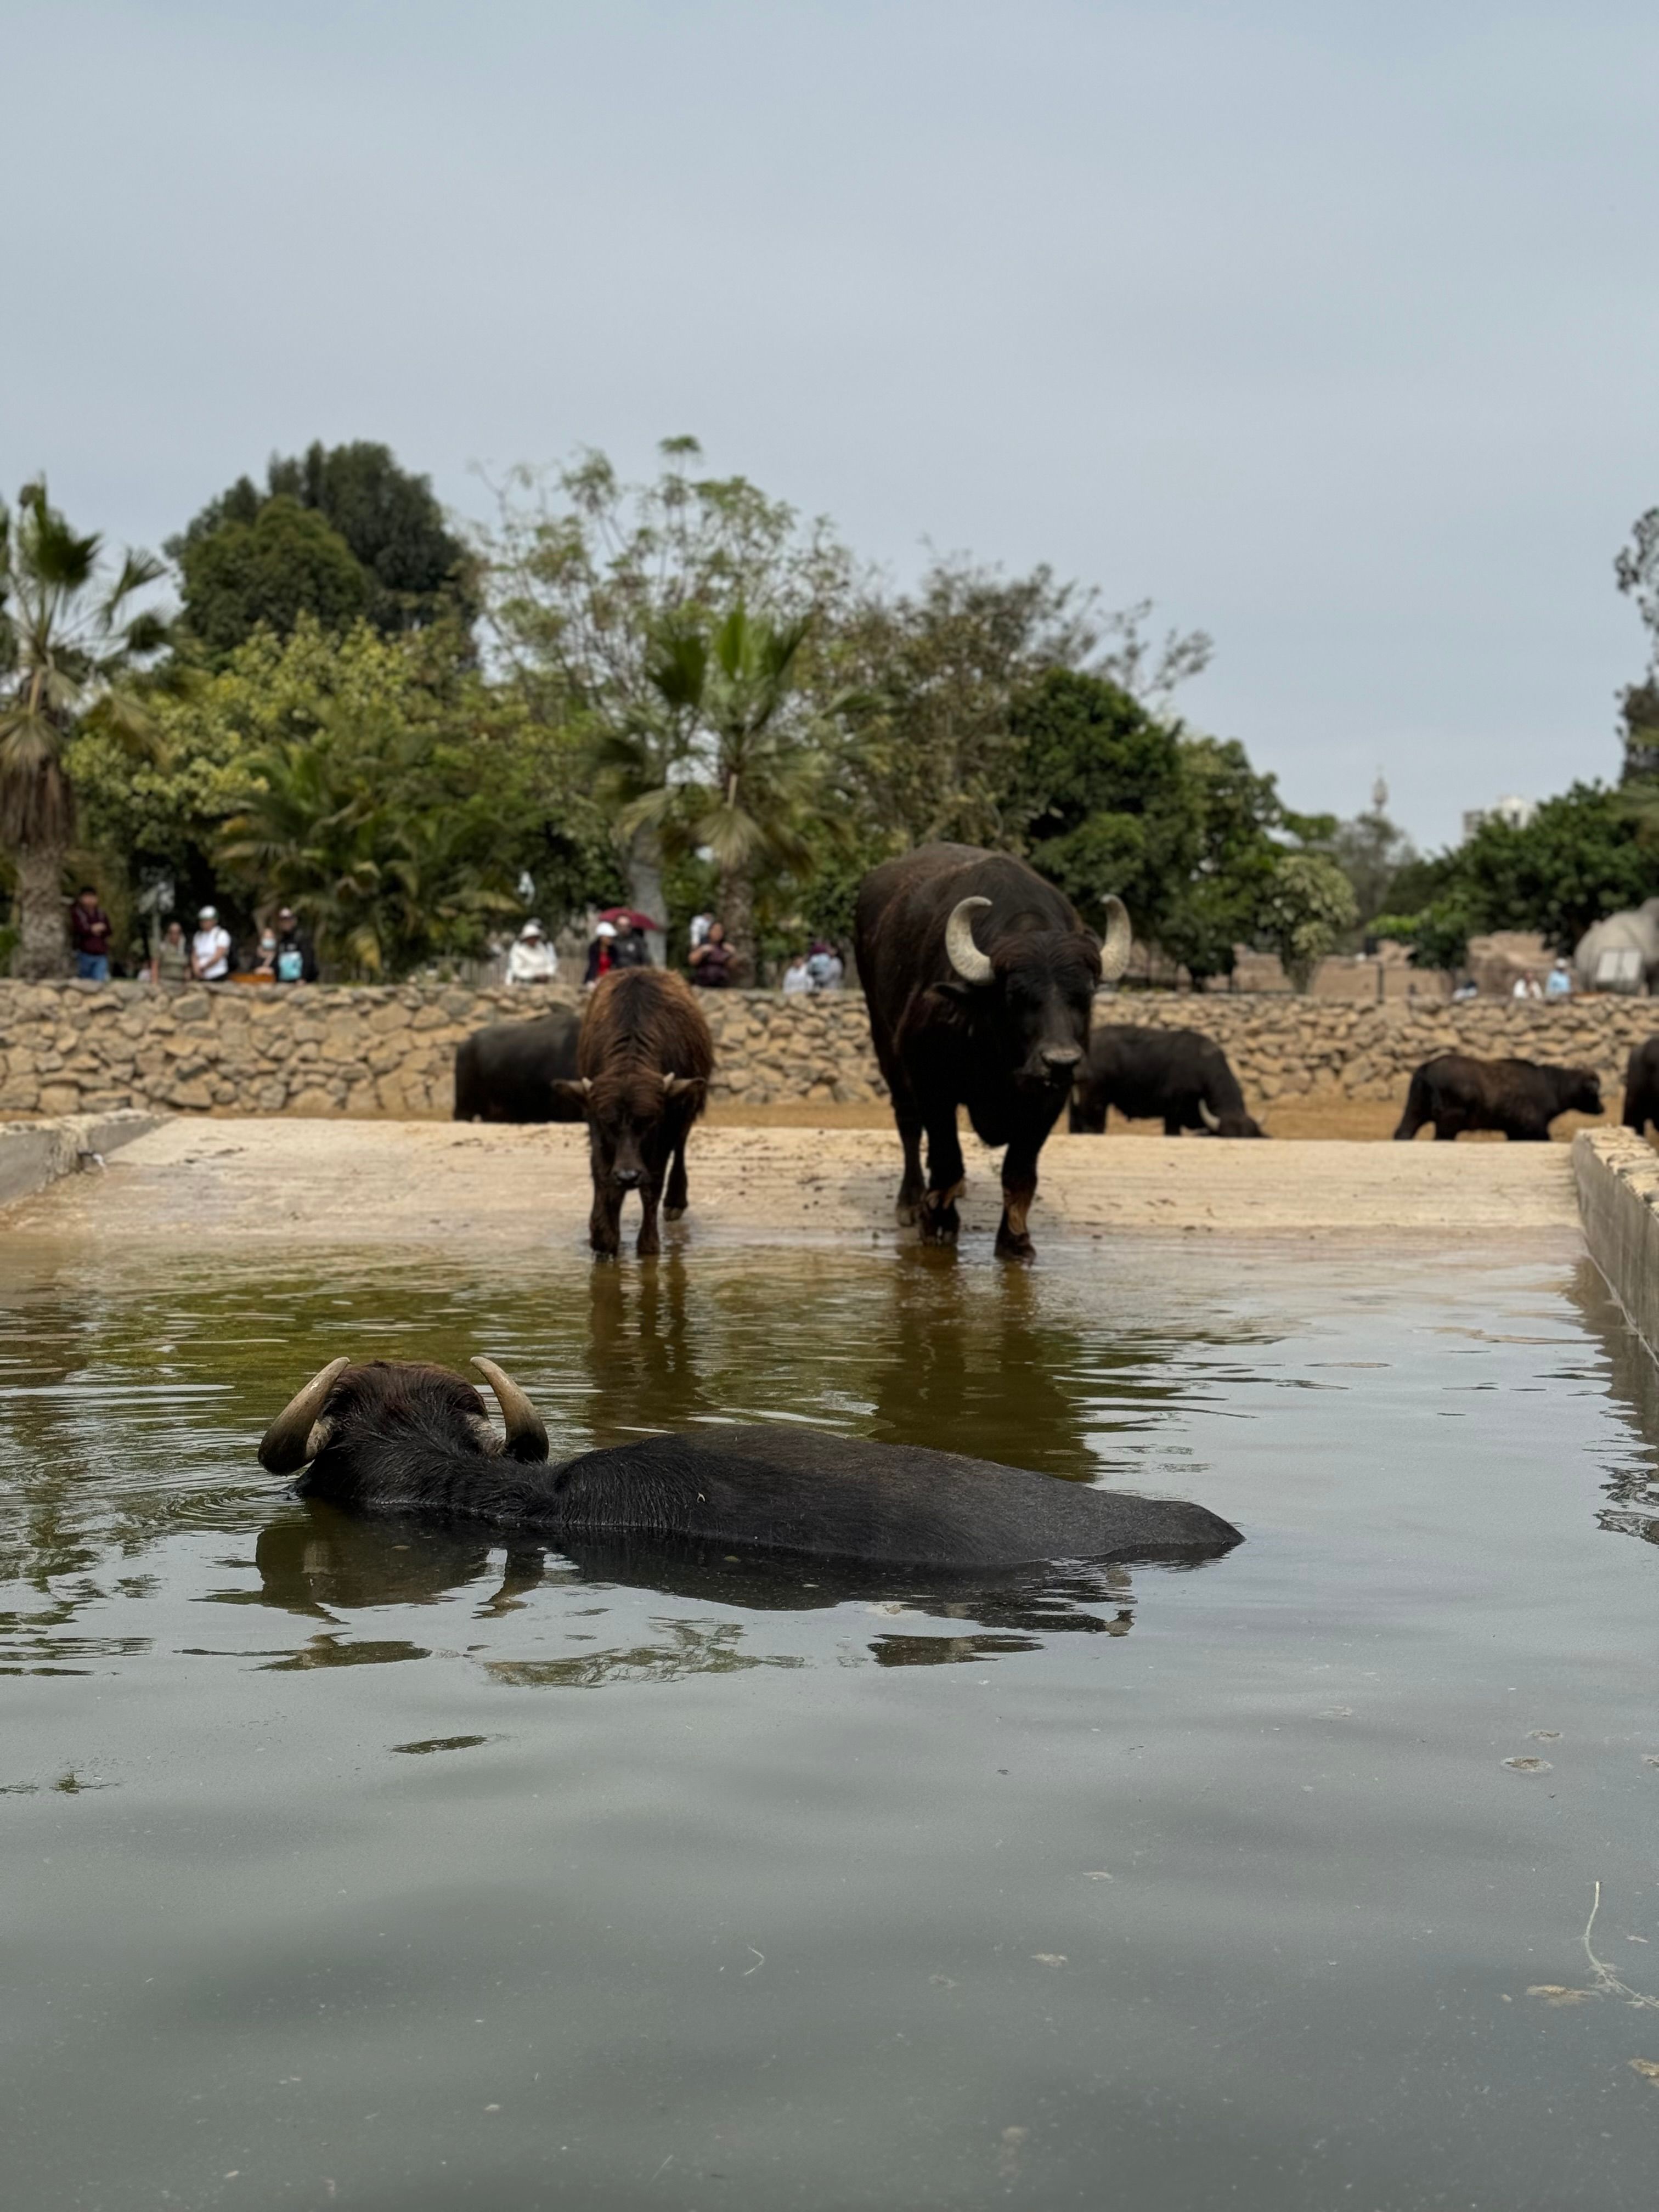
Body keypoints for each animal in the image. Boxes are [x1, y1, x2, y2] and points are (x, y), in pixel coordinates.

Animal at [554, 968, 714, 1258]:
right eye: (609, 1124)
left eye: (649, 1122)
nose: (628, 1176)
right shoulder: (595, 1124)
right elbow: (602, 1174)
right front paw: (603, 1234)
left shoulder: (666, 1128)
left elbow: (653, 1184)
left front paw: (649, 1244)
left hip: (688, 1107)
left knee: (681, 1148)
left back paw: (675, 1202)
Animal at [854, 843, 1131, 1259]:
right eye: (1016, 996)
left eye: (1084, 995)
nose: (1060, 1061)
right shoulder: (932, 1082)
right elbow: (947, 1157)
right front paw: (938, 1224)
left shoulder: (1050, 1099)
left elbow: (1019, 1171)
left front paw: (1015, 1241)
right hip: (883, 1037)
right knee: (908, 1121)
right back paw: (911, 1200)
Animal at [1392, 1053, 1602, 1141]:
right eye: (1594, 1091)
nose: (1602, 1108)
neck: (1551, 1085)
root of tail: (1428, 1066)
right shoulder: (1534, 1130)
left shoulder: (1514, 1132)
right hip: (1448, 1123)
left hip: (1414, 1111)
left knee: (1403, 1134)